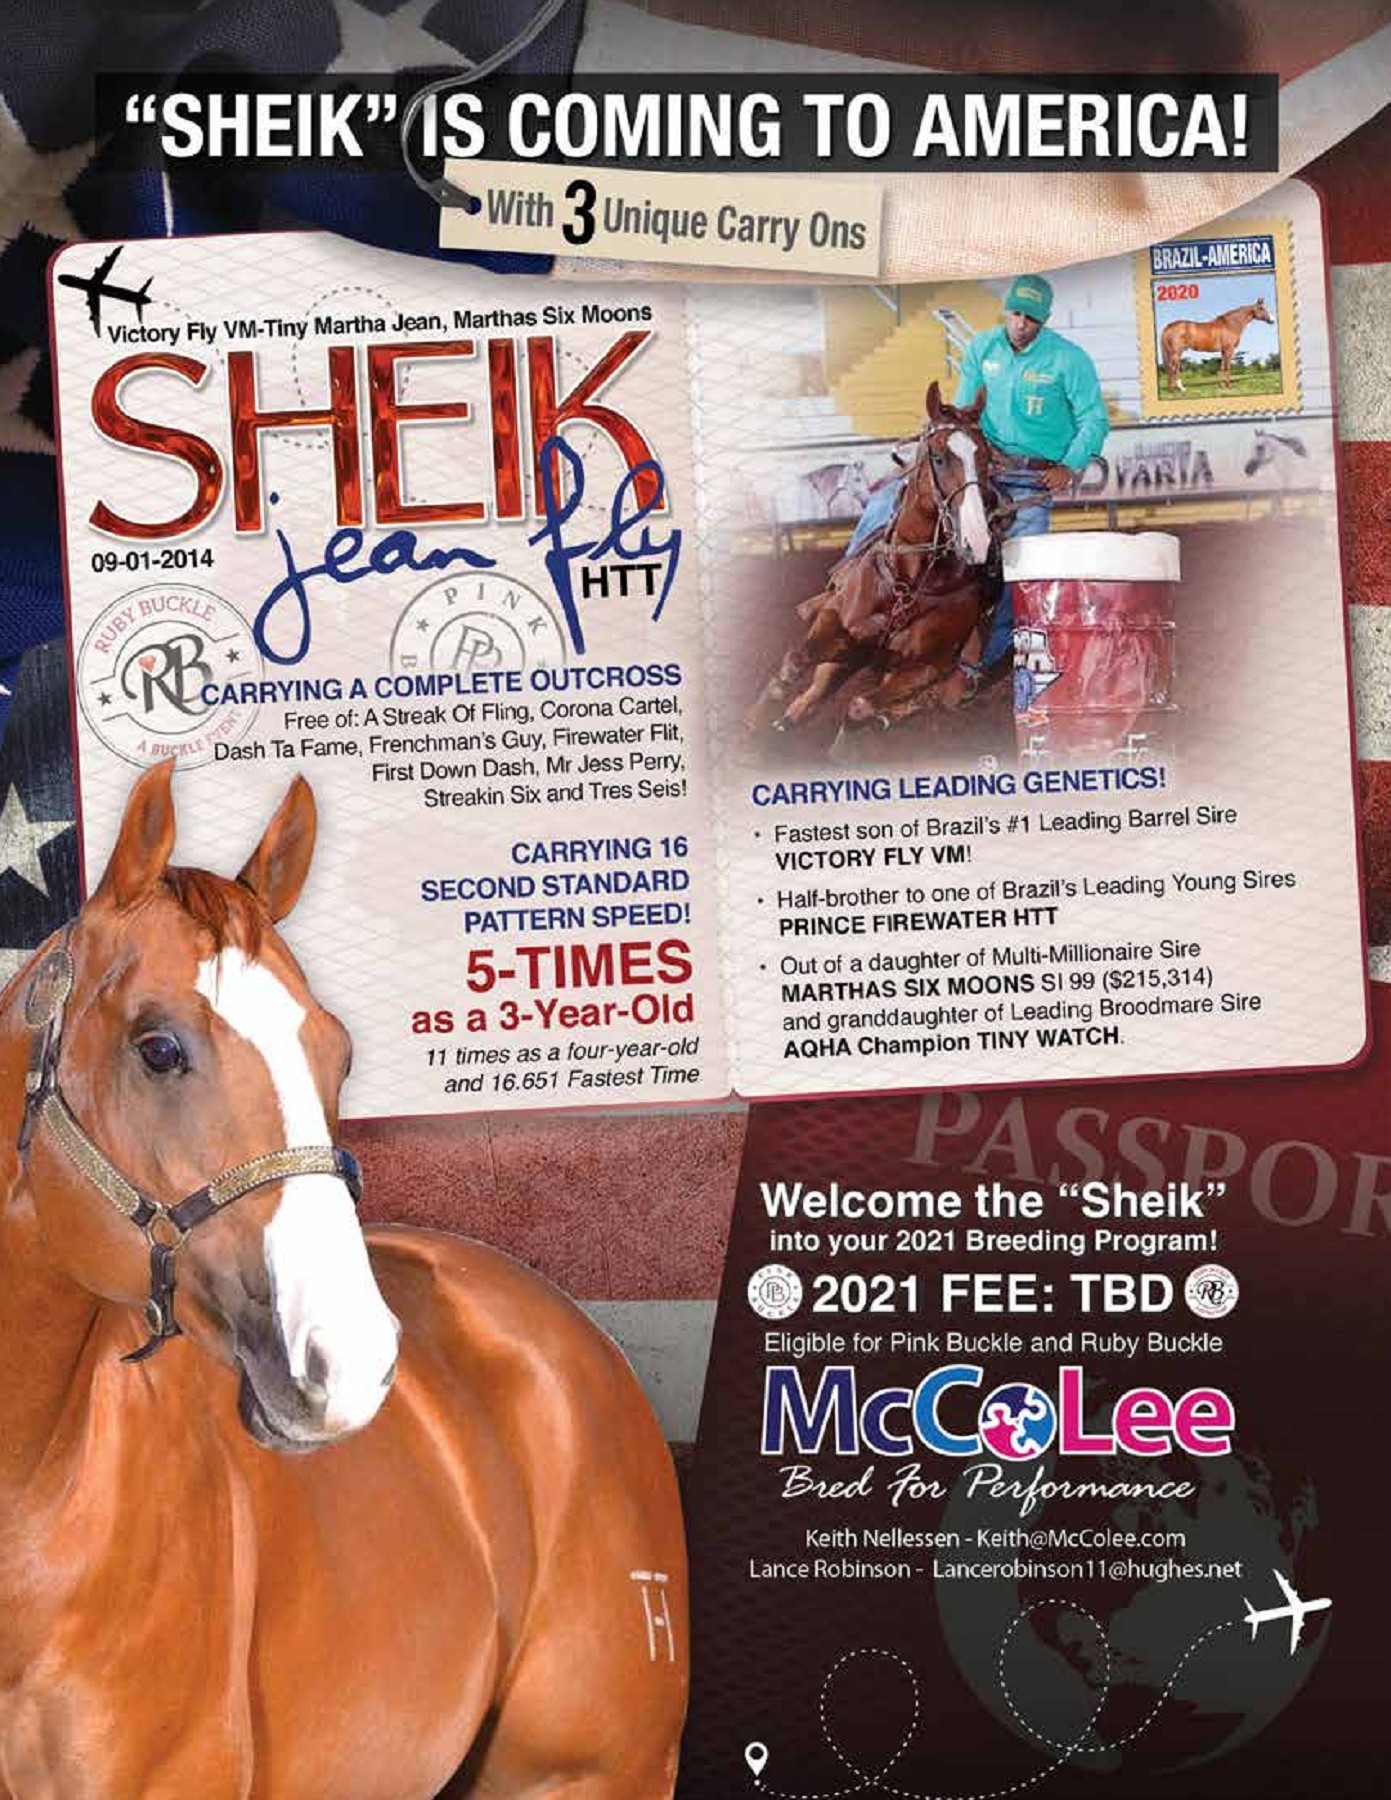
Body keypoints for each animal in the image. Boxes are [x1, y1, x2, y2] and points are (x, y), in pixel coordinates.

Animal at [748, 382, 1002, 746]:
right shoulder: (838, 620)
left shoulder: (927, 666)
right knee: (814, 686)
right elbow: (797, 661)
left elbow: (860, 707)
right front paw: (758, 716)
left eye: (986, 458)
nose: (977, 540)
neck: (910, 583)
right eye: (939, 458)